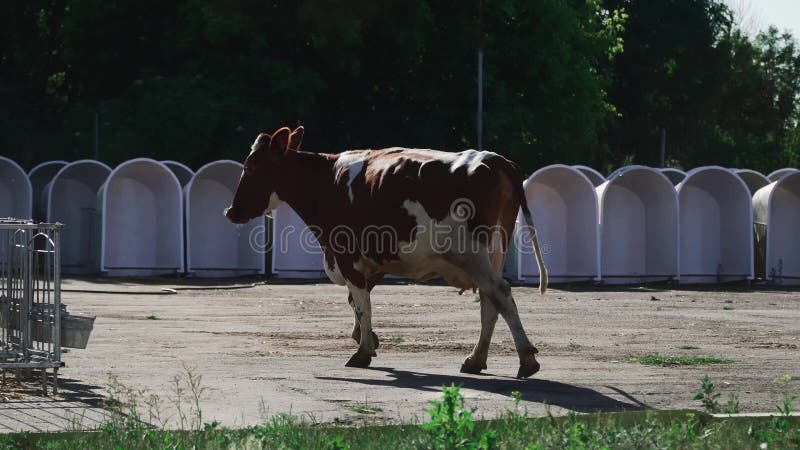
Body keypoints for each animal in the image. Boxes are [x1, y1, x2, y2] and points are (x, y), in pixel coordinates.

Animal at [225, 126, 548, 378]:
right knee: (490, 302)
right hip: (494, 252)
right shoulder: (372, 260)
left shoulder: (347, 255)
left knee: (500, 294)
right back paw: (476, 359)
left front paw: (363, 351)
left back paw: (526, 359)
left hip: (473, 254)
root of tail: (498, 161)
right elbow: (356, 302)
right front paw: (367, 339)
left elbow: (362, 305)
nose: (231, 211)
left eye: (250, 167)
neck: (326, 183)